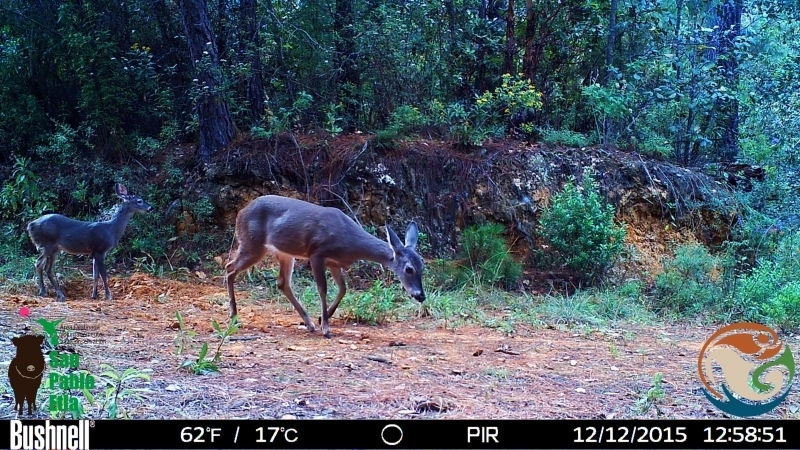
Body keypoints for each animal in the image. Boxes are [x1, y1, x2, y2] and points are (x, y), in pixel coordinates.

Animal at [225, 195, 426, 339]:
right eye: (409, 269)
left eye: (422, 266)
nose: (420, 296)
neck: (351, 243)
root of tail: (241, 213)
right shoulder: (317, 254)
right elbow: (323, 289)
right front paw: (326, 328)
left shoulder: (335, 263)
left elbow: (343, 288)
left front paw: (323, 318)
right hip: (253, 243)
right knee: (229, 268)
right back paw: (234, 316)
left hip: (285, 253)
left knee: (282, 282)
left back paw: (309, 324)